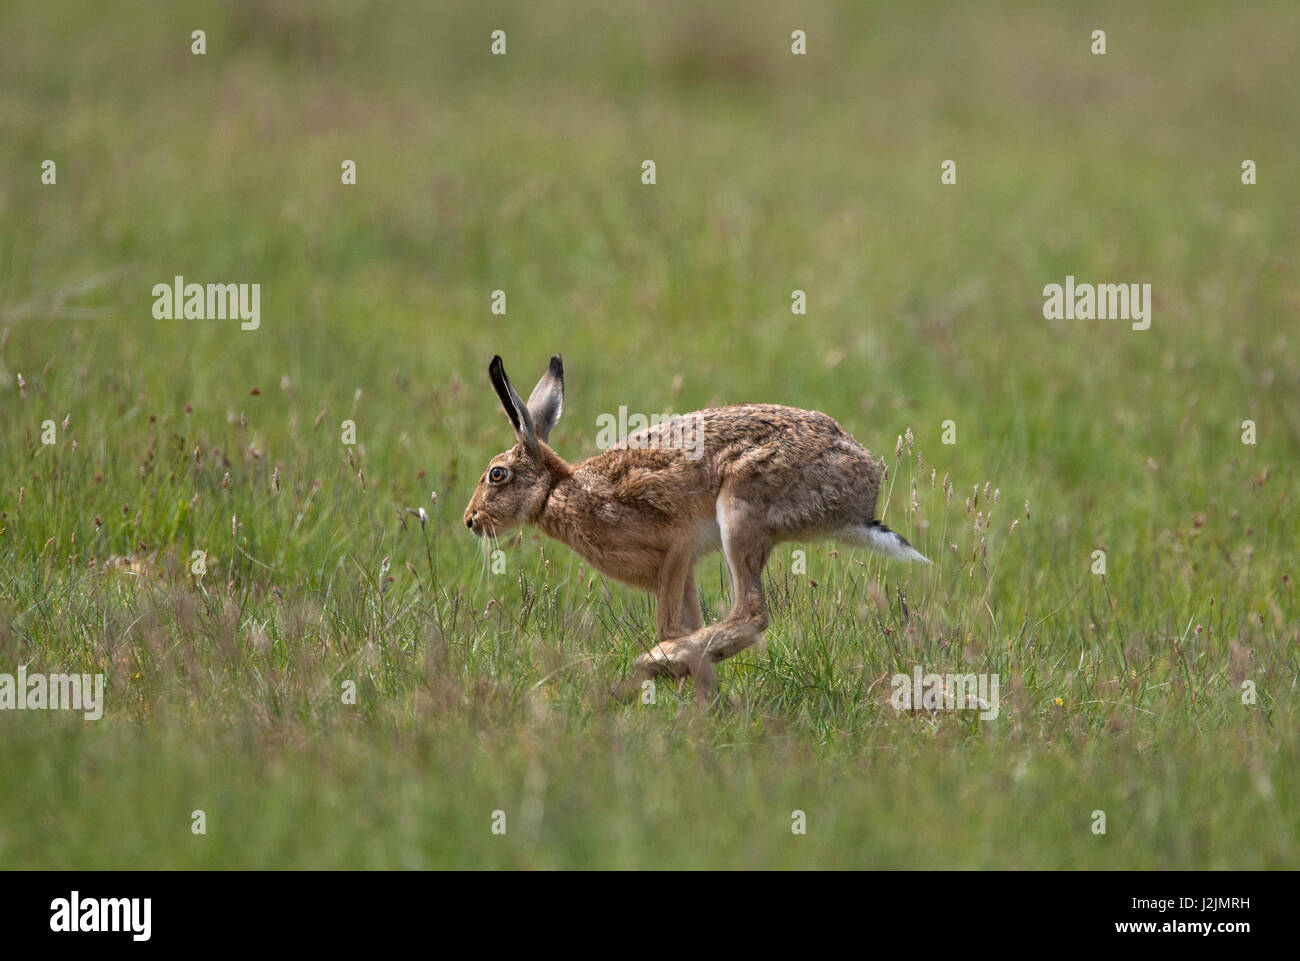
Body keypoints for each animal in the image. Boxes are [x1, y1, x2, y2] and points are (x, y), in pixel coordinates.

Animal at [463, 354, 929, 703]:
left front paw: (665, 669)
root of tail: (862, 492)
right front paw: (706, 703)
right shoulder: (682, 569)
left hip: (740, 511)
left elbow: (670, 625)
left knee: (752, 613)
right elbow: (689, 622)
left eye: (497, 475)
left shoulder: (675, 547)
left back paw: (654, 660)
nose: (470, 520)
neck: (557, 490)